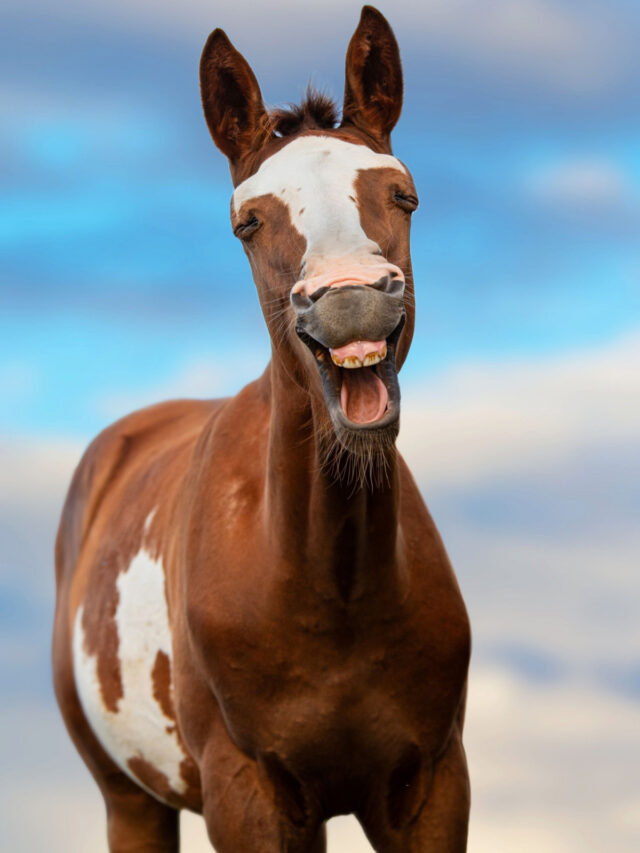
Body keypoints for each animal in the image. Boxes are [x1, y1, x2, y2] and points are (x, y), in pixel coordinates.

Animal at [52, 7, 471, 851]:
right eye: (249, 222)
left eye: (404, 196)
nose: (351, 302)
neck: (331, 588)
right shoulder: (248, 797)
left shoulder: (435, 788)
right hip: (129, 799)